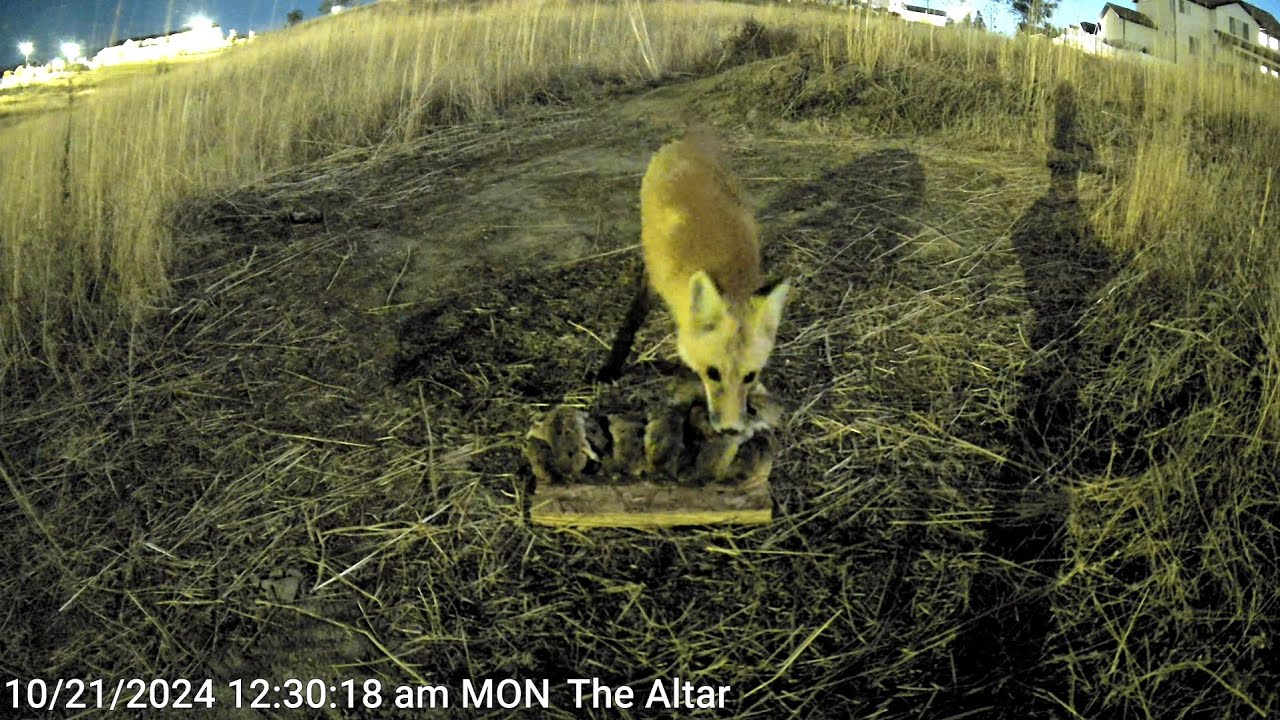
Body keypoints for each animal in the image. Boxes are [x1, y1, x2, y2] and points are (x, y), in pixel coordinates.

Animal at [597, 128, 791, 434]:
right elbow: (634, 317)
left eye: (750, 376)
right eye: (712, 373)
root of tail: (687, 140)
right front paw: (612, 365)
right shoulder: (654, 279)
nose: (731, 429)